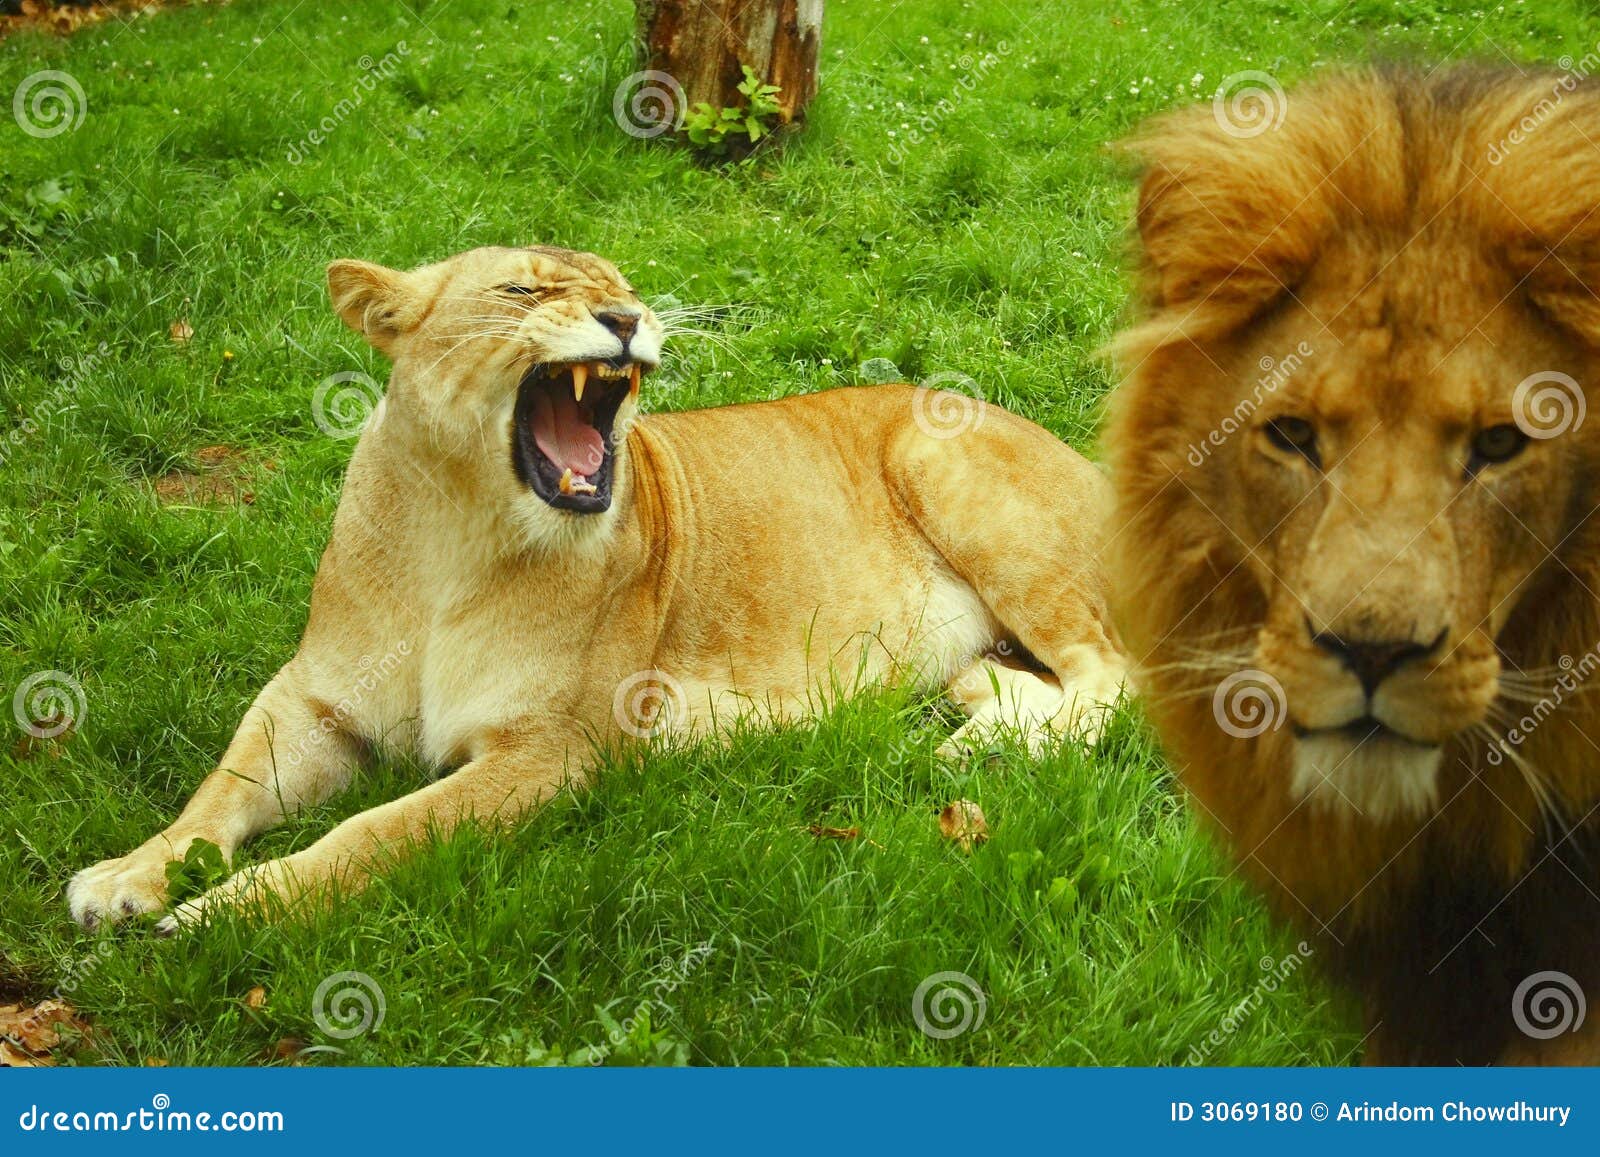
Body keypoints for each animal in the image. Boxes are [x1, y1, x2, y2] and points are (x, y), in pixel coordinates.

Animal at [67, 244, 1127, 932]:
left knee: (1113, 672)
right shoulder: (314, 698)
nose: (625, 321)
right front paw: (131, 875)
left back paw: (1001, 752)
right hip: (964, 642)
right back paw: (982, 740)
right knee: (1025, 677)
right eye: (522, 288)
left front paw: (231, 908)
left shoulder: (554, 747)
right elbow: (221, 787)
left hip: (948, 465)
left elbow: (378, 832)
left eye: (625, 290)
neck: (458, 533)